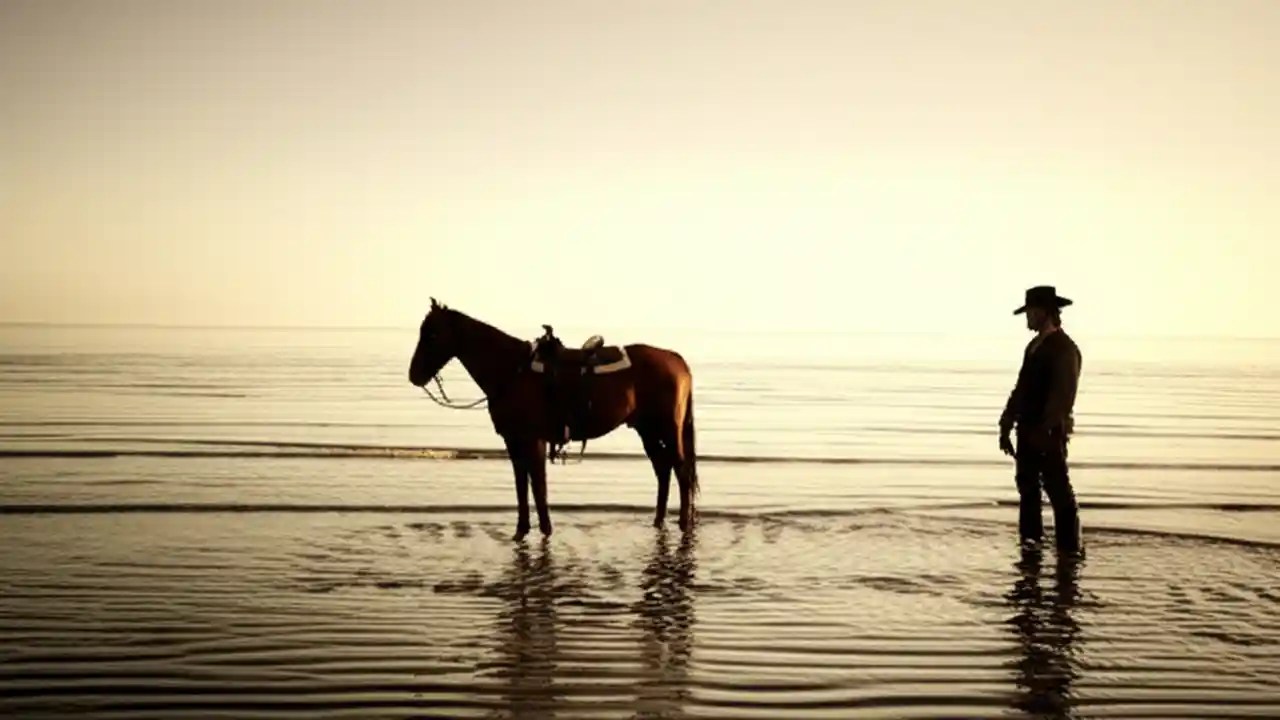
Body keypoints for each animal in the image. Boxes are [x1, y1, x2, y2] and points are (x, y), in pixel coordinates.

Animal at [407, 298, 699, 541]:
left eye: (432, 334)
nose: (414, 375)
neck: (512, 370)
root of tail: (677, 361)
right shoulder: (514, 441)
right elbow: (524, 485)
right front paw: (523, 531)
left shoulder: (531, 439)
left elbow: (536, 485)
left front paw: (542, 531)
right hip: (647, 430)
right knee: (663, 470)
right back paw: (658, 522)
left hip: (667, 429)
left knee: (680, 470)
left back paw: (683, 523)